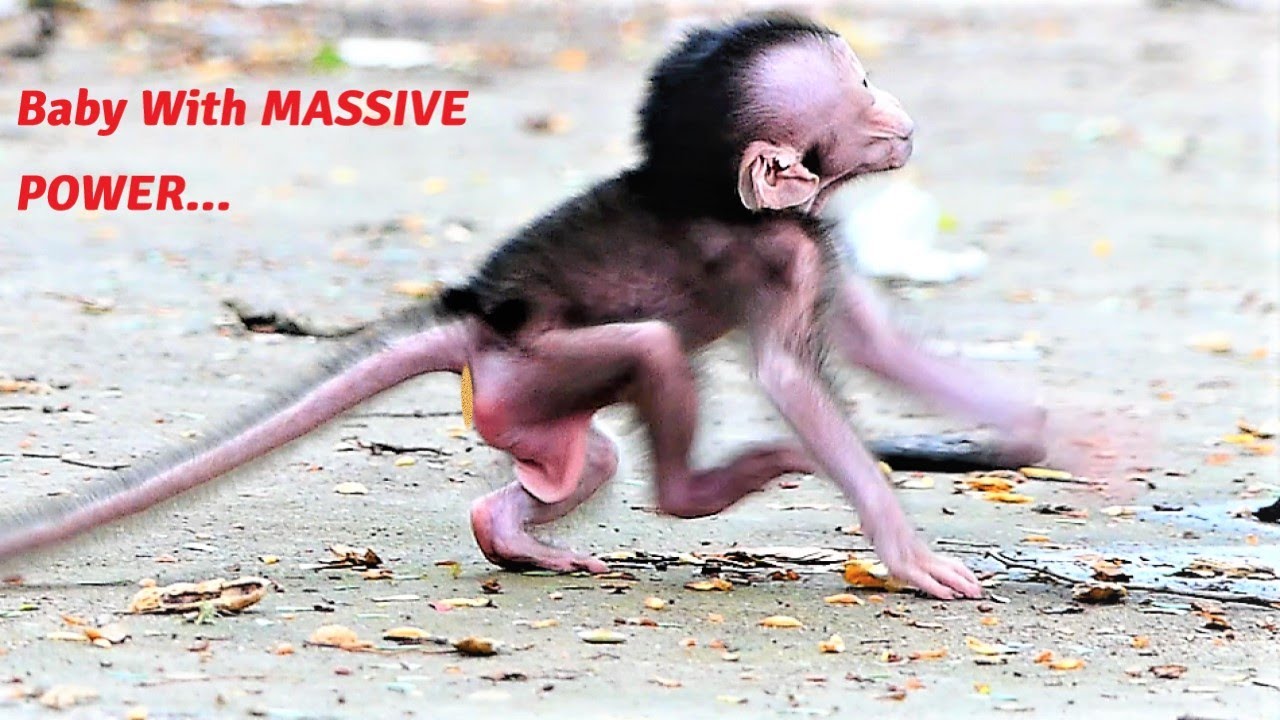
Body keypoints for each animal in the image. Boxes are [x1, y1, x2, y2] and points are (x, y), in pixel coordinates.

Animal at [0, 14, 1053, 600]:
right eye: (864, 88)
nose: (901, 119)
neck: (731, 198)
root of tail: (477, 322)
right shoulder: (782, 249)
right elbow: (793, 376)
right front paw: (903, 546)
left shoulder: (814, 245)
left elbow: (872, 345)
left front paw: (1060, 432)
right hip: (535, 370)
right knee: (653, 351)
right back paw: (703, 489)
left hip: (529, 414)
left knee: (584, 462)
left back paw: (510, 532)